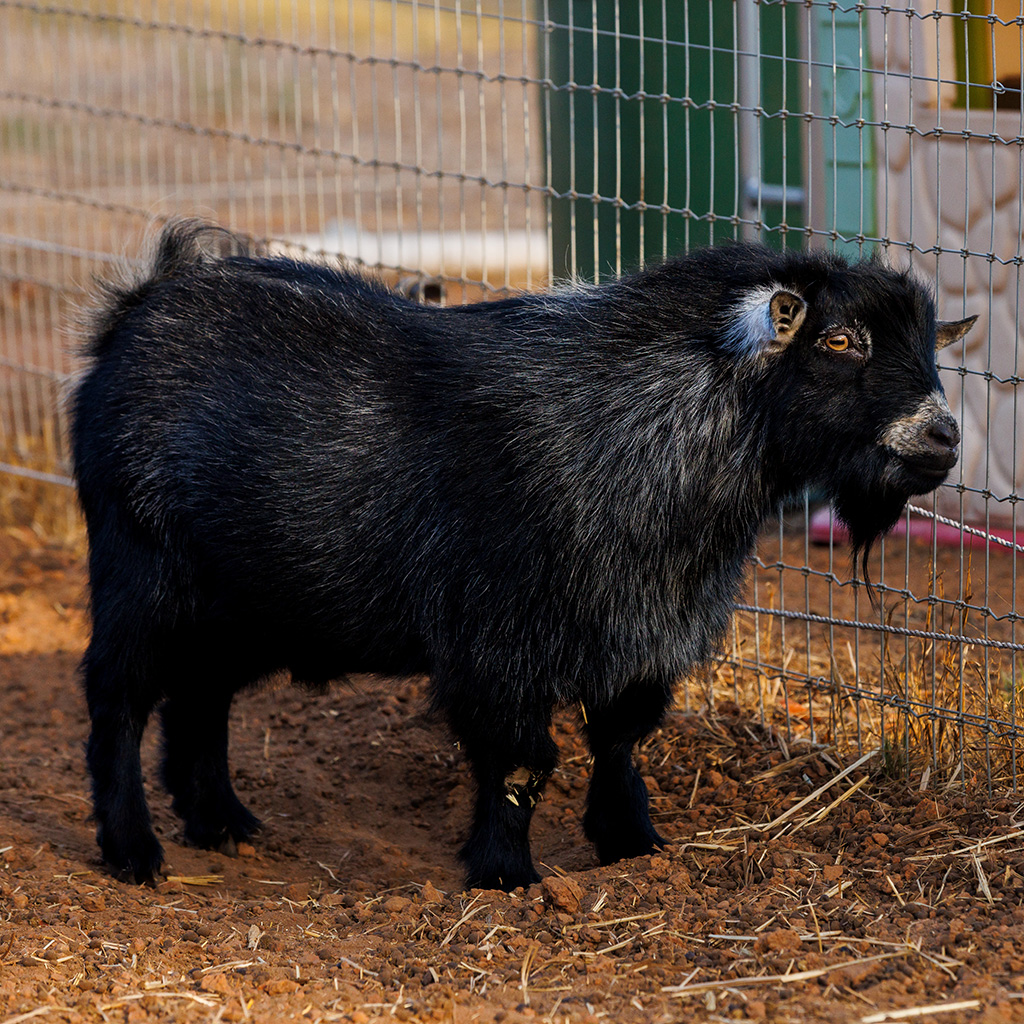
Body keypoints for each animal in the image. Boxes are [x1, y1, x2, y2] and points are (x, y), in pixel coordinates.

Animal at [70, 220, 975, 888]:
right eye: (840, 341)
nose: (943, 436)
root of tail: (141, 303)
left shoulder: (641, 632)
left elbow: (620, 739)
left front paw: (631, 842)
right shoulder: (499, 640)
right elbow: (521, 762)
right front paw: (505, 874)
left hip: (244, 602)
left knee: (200, 696)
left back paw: (220, 822)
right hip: (140, 570)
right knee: (118, 697)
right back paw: (133, 850)